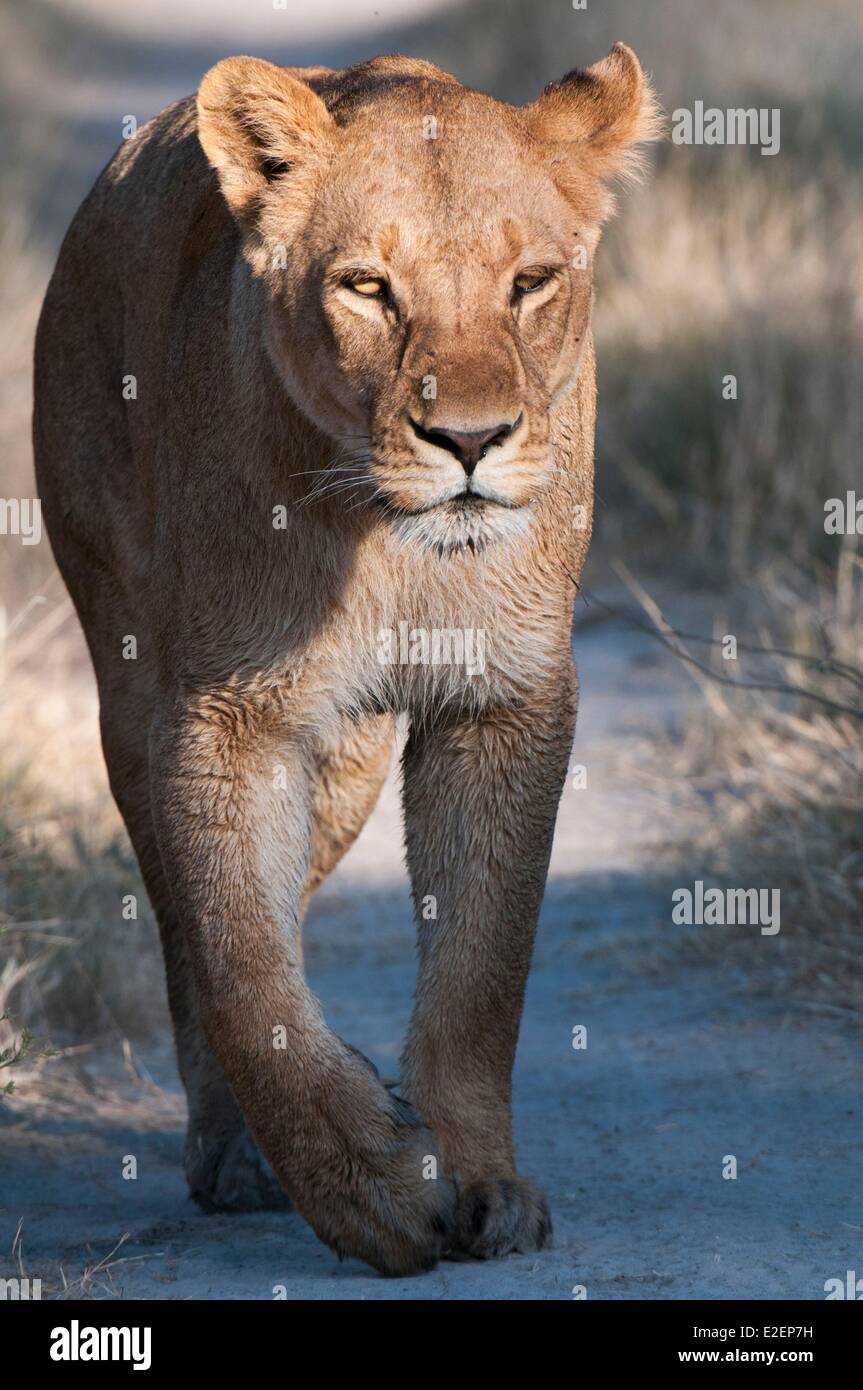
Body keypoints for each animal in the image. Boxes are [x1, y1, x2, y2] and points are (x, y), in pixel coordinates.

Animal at [33, 48, 659, 1276]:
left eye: (530, 282)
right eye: (368, 288)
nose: (468, 440)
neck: (388, 546)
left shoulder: (503, 697)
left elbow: (481, 966)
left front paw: (479, 1183)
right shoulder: (224, 715)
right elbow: (243, 968)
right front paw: (366, 1186)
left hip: (348, 761)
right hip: (132, 684)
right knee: (183, 926)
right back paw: (235, 1155)